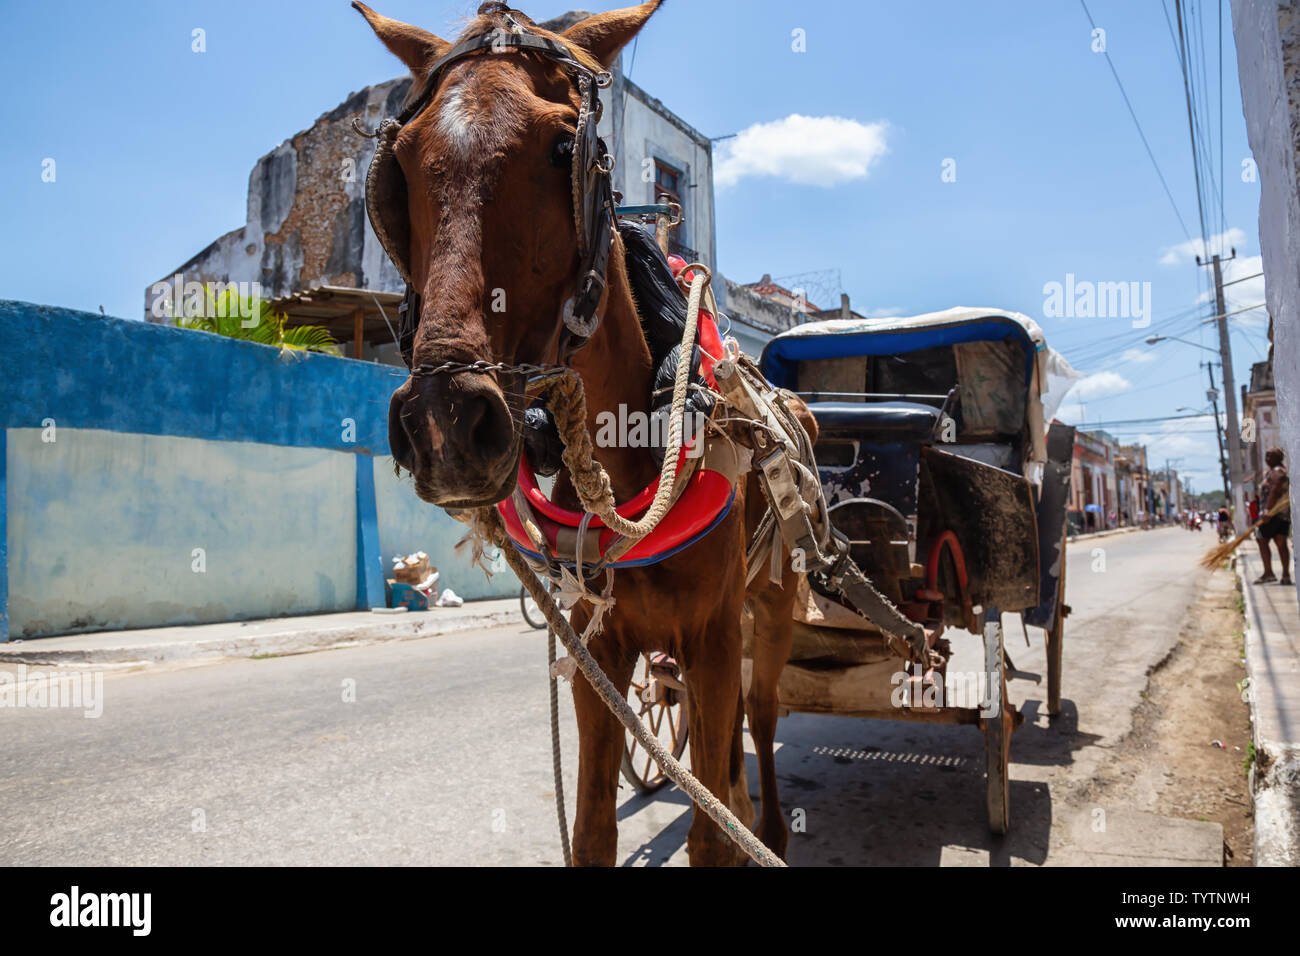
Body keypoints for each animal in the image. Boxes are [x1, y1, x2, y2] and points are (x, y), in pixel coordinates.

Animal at [354, 0, 806, 865]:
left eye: (567, 148)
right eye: (401, 163)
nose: (445, 424)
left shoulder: (713, 638)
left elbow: (713, 831)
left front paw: (735, 827)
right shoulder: (601, 646)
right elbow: (593, 825)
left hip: (771, 607)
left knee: (763, 723)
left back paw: (768, 824)